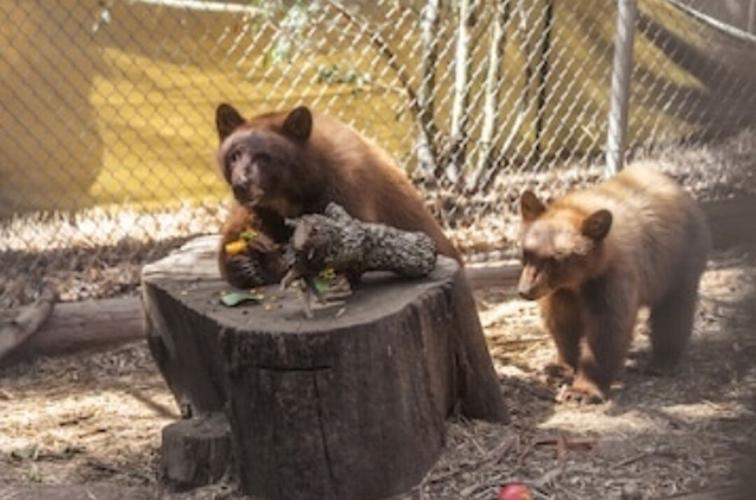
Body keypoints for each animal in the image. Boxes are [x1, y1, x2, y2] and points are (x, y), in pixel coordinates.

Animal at [214, 103, 461, 289]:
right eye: (234, 155)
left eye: (265, 157)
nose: (241, 185)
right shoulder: (263, 209)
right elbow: (238, 230)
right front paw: (245, 263)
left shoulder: (345, 190)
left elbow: (346, 252)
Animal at [517, 164, 710, 403]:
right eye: (526, 253)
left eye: (555, 260)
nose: (525, 291)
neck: (579, 279)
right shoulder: (560, 291)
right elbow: (562, 321)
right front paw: (560, 366)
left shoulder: (611, 276)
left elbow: (607, 328)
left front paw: (582, 390)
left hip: (680, 261)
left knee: (674, 311)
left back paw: (662, 362)